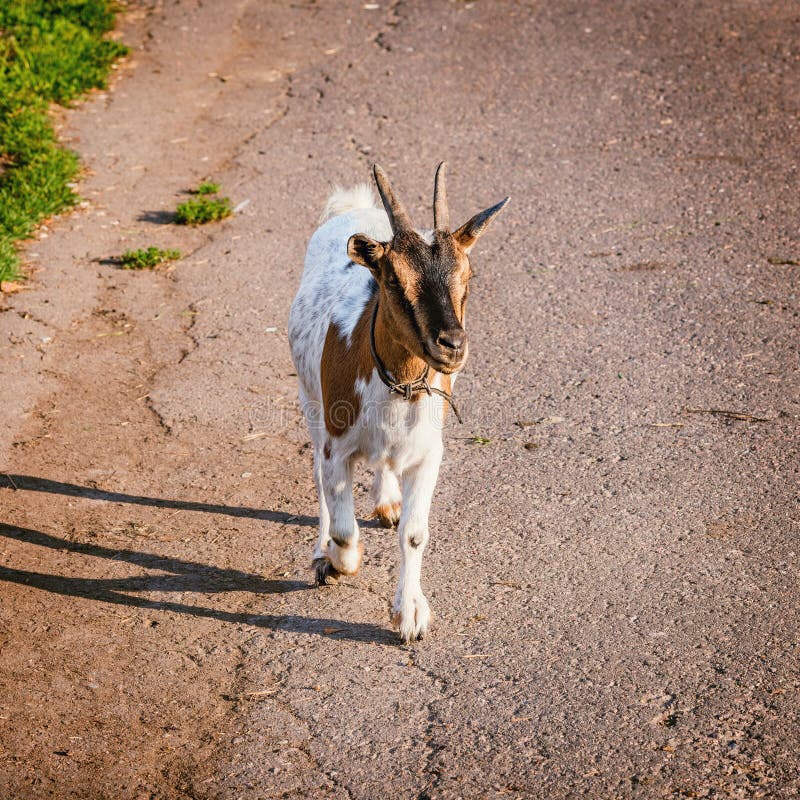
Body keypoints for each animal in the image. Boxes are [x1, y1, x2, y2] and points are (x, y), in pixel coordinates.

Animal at [288, 163, 508, 642]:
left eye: (468, 276)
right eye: (393, 279)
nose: (452, 345)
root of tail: (355, 208)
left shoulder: (428, 454)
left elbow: (414, 533)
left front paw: (409, 614)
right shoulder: (337, 447)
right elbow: (344, 527)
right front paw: (337, 562)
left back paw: (387, 499)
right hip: (310, 401)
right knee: (316, 476)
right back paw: (321, 550)